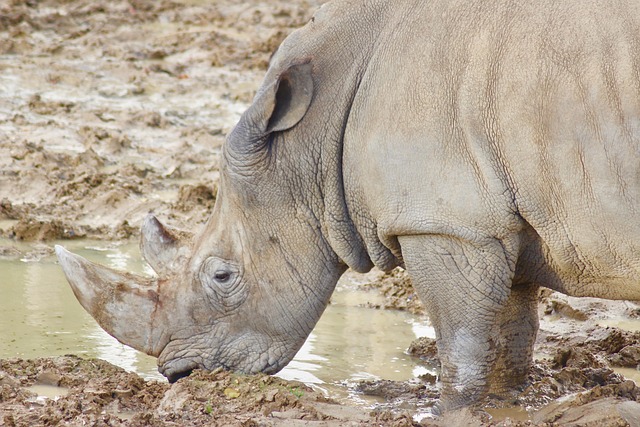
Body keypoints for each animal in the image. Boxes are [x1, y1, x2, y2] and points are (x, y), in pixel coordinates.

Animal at [55, 0, 640, 411]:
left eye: (222, 276)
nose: (177, 375)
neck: (306, 138)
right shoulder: (488, 219)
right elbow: (512, 339)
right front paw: (505, 405)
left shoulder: (442, 224)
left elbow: (462, 347)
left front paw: (453, 409)